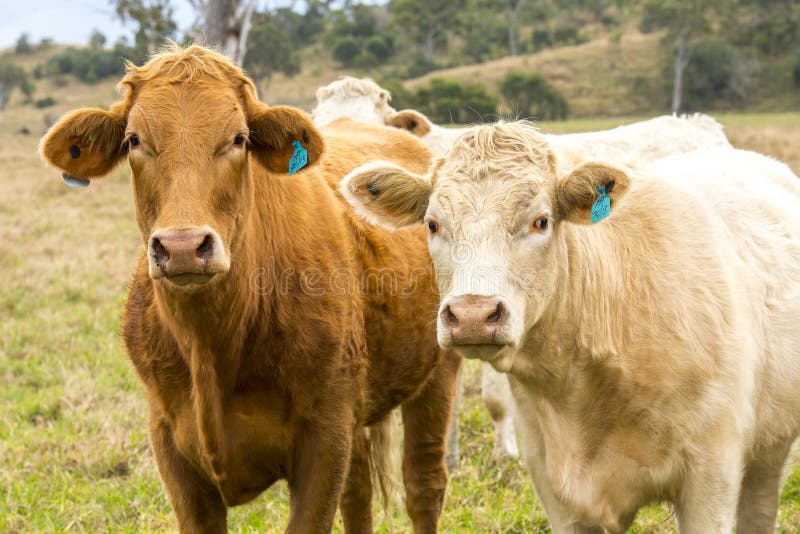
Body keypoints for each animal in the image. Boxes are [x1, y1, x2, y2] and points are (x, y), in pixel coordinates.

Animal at [39, 45, 461, 533]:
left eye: (239, 139)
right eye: (134, 141)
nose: (182, 247)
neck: (211, 346)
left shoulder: (324, 439)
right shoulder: (170, 445)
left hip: (438, 369)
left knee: (423, 485)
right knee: (359, 493)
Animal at [340, 120, 800, 533]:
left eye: (540, 221)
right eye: (433, 225)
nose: (473, 314)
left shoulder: (710, 479)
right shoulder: (556, 490)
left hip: (768, 451)